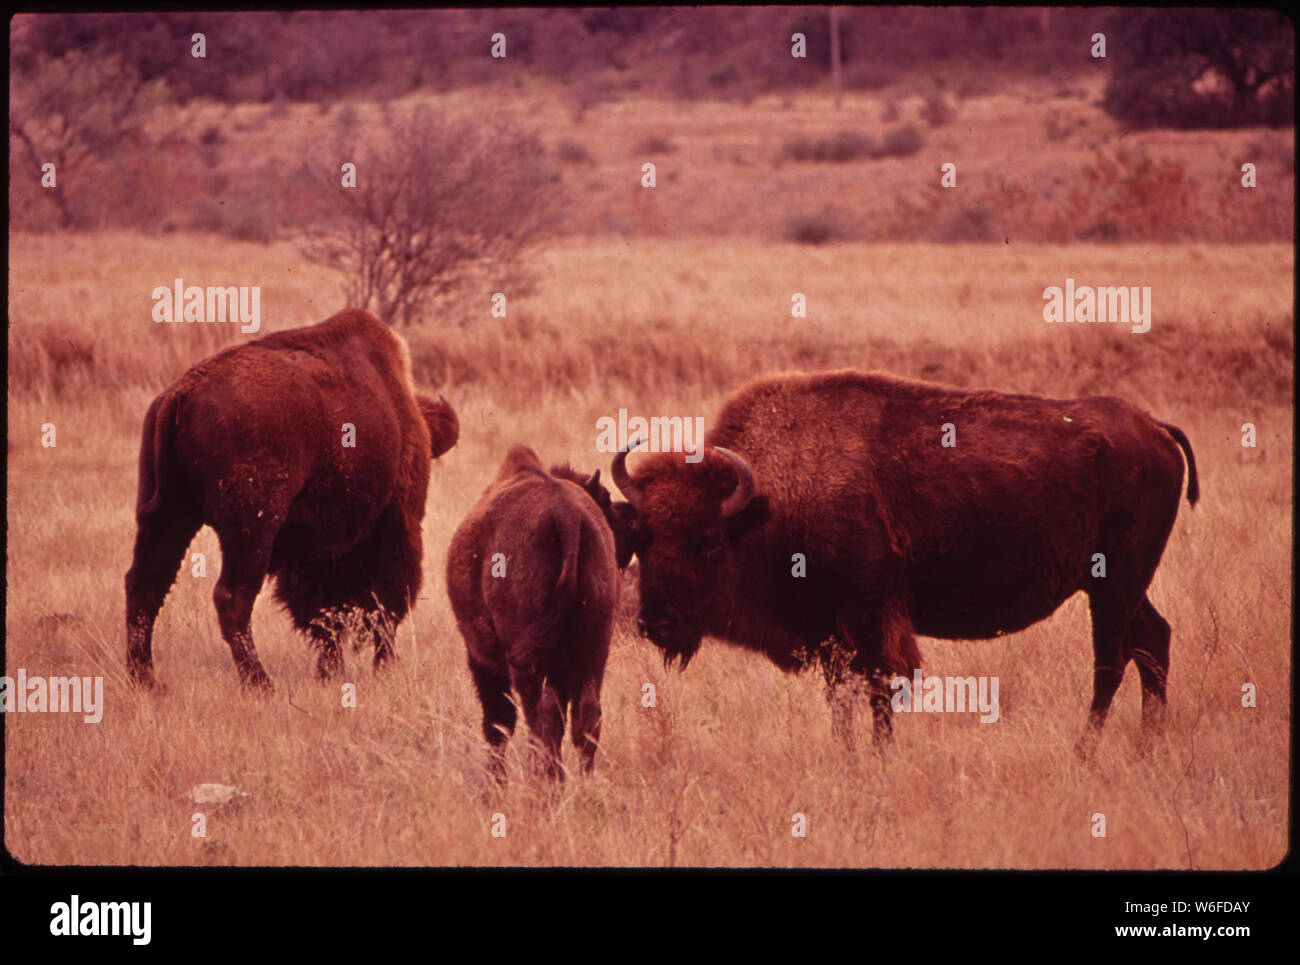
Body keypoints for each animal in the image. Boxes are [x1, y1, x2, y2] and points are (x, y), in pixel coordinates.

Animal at [124, 308, 459, 691]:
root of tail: (184, 390)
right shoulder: (398, 528)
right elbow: (385, 606)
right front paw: (381, 668)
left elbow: (324, 615)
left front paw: (329, 671)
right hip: (252, 530)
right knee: (231, 597)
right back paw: (261, 684)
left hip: (167, 515)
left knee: (145, 586)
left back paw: (146, 679)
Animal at [446, 446, 627, 780]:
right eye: (607, 501)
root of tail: (566, 516)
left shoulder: (480, 657)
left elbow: (498, 723)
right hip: (595, 645)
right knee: (586, 715)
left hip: (525, 658)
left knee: (538, 720)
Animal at [611, 369, 1198, 752]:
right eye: (641, 538)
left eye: (710, 541)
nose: (655, 623)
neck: (772, 504)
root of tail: (1154, 427)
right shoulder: (831, 636)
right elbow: (840, 701)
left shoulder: (874, 626)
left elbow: (878, 695)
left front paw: (877, 759)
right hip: (1120, 587)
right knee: (1153, 641)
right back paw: (1147, 745)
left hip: (1114, 585)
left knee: (1112, 660)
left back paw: (1085, 749)